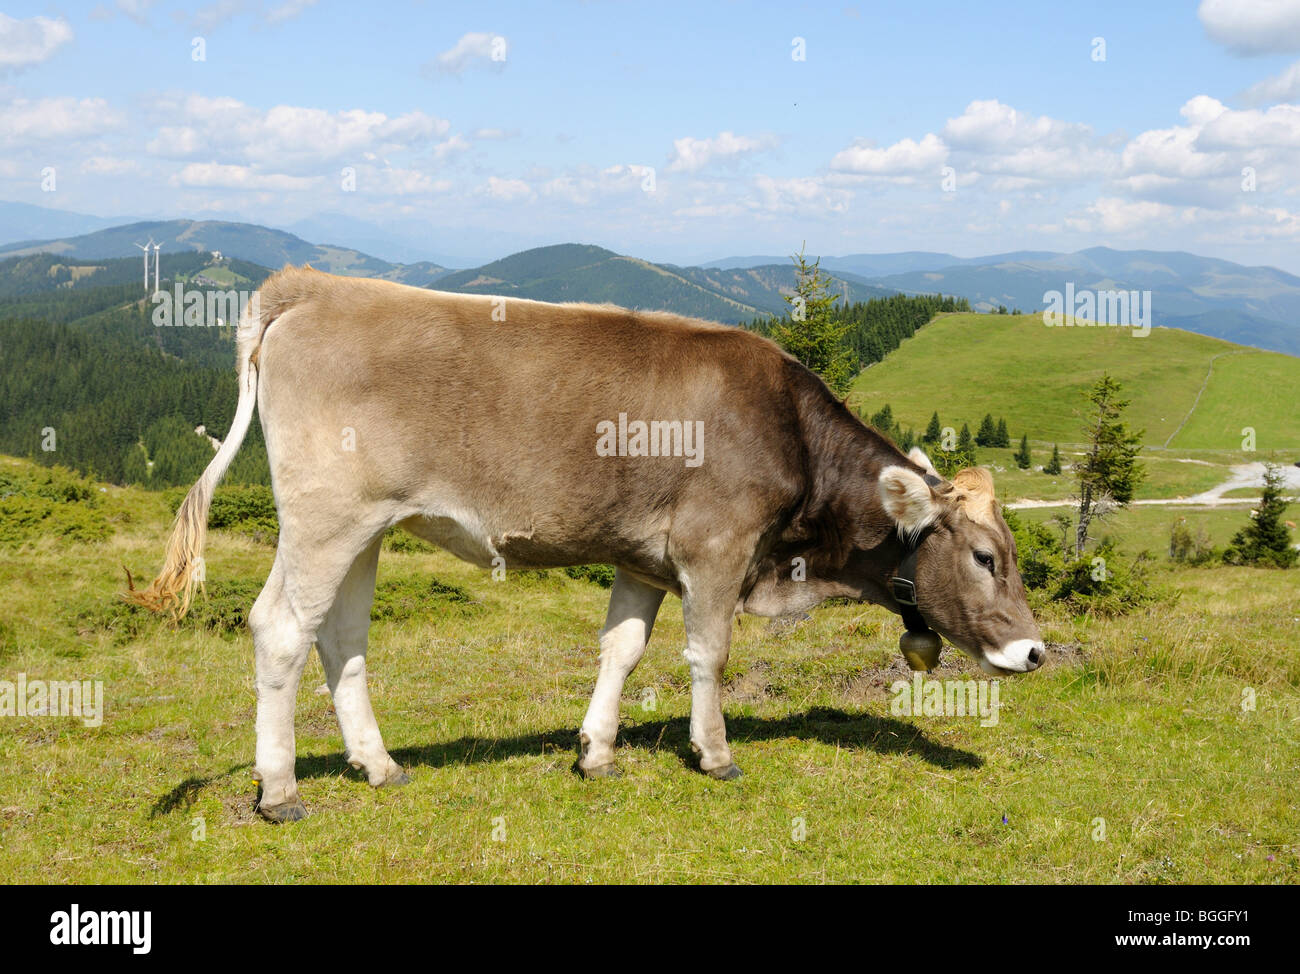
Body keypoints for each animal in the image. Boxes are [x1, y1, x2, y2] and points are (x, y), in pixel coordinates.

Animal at [127, 266, 1044, 823]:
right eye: (985, 558)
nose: (1036, 651)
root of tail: (313, 287)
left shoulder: (643, 557)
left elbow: (622, 650)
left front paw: (597, 750)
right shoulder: (716, 546)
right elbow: (709, 654)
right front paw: (715, 754)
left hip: (366, 530)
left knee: (341, 637)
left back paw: (378, 764)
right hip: (324, 520)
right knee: (281, 630)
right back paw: (280, 788)